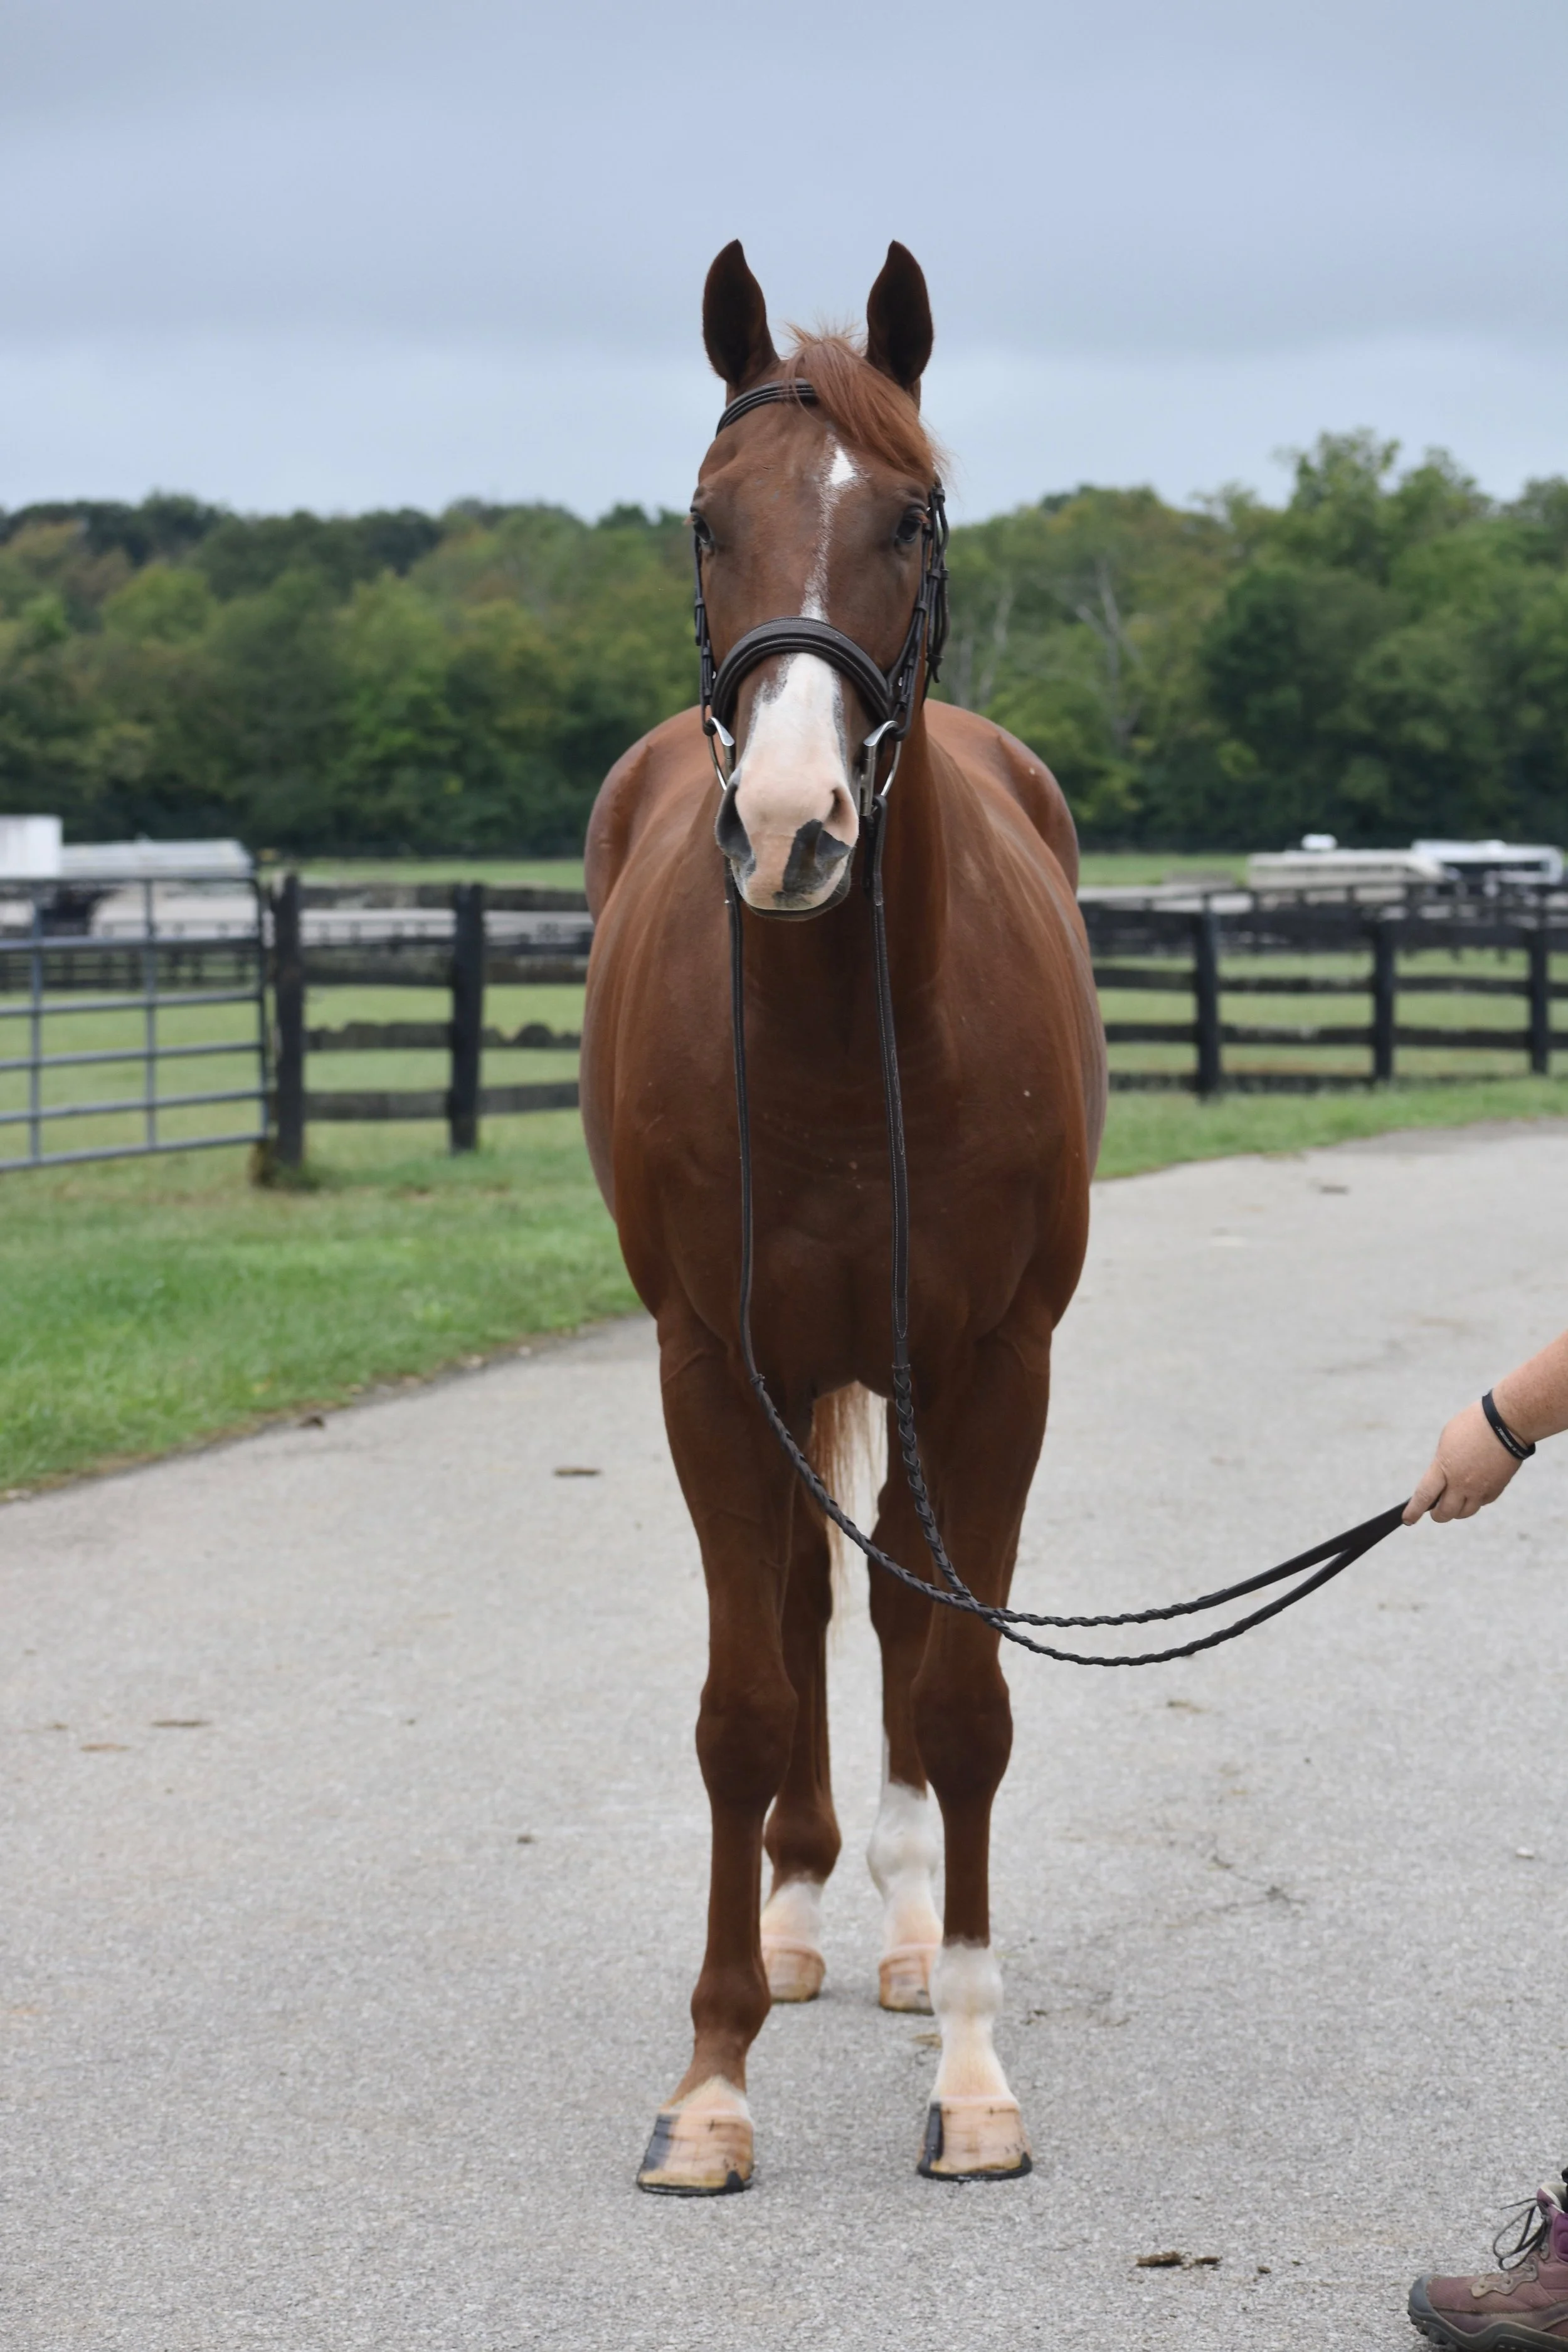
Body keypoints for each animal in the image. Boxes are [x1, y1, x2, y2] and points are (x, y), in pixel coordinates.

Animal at [581, 238, 1106, 2192]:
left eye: (910, 513)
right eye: (706, 517)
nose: (791, 824)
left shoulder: (995, 1366)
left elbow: (961, 1696)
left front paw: (968, 2063)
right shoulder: (708, 1364)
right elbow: (740, 1702)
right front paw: (713, 2079)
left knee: (888, 1606)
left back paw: (891, 1922)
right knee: (810, 1603)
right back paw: (806, 1911)